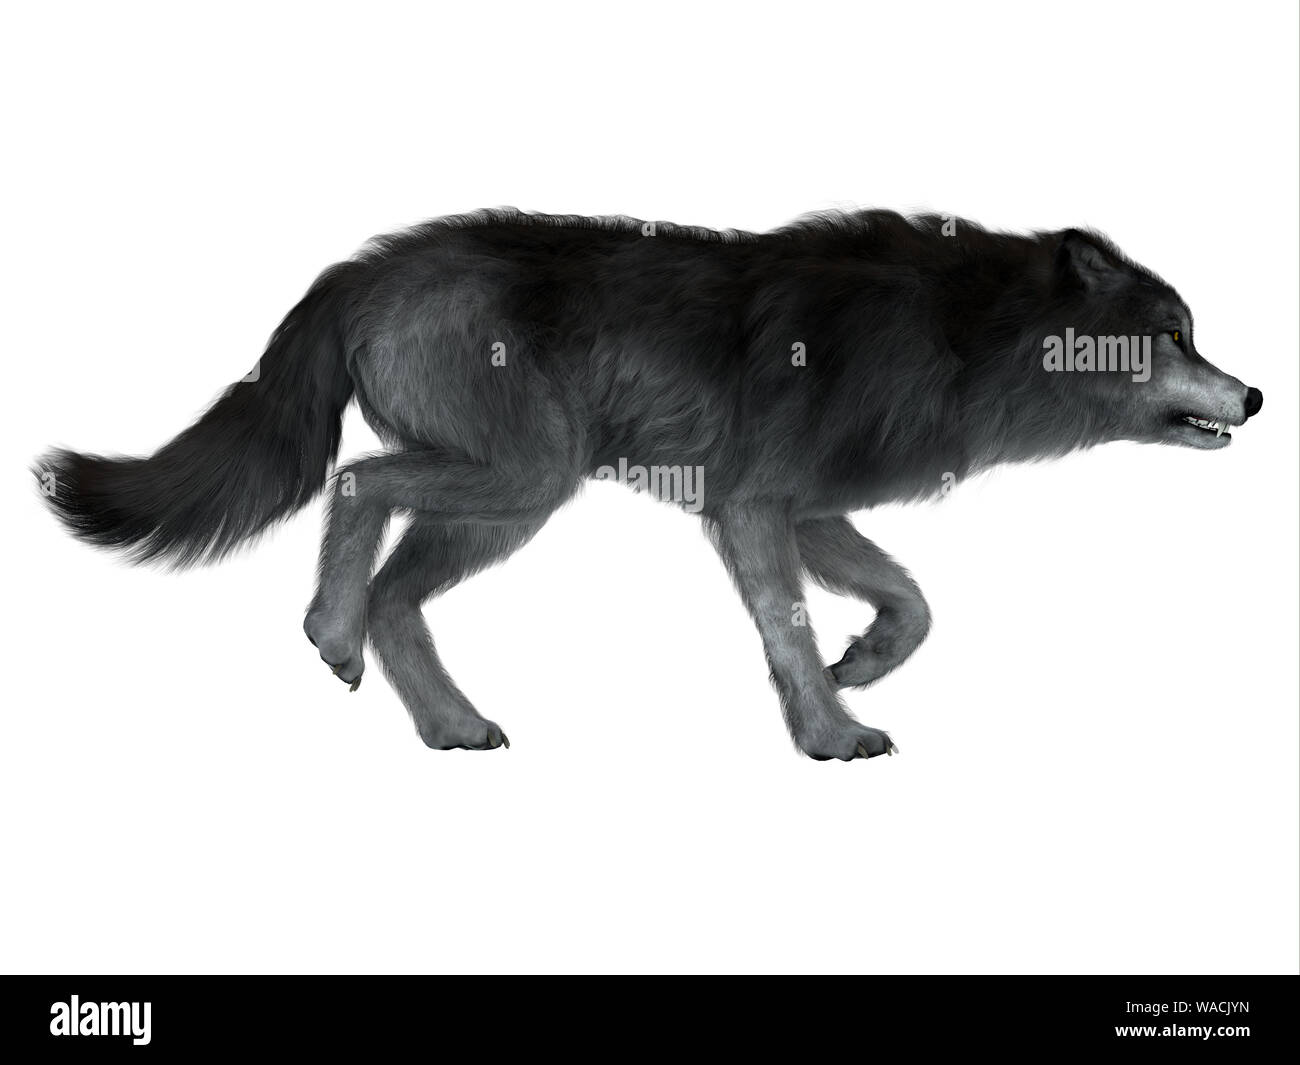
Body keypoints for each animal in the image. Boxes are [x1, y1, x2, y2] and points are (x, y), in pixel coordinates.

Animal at [36, 209, 1263, 760]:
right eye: (1175, 334)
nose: (1253, 396)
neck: (963, 335)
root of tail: (361, 266)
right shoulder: (755, 509)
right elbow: (788, 629)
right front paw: (828, 733)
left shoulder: (797, 508)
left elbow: (913, 603)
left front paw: (859, 665)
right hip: (524, 485)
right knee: (353, 486)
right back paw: (330, 632)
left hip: (503, 508)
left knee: (393, 590)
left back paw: (448, 723)